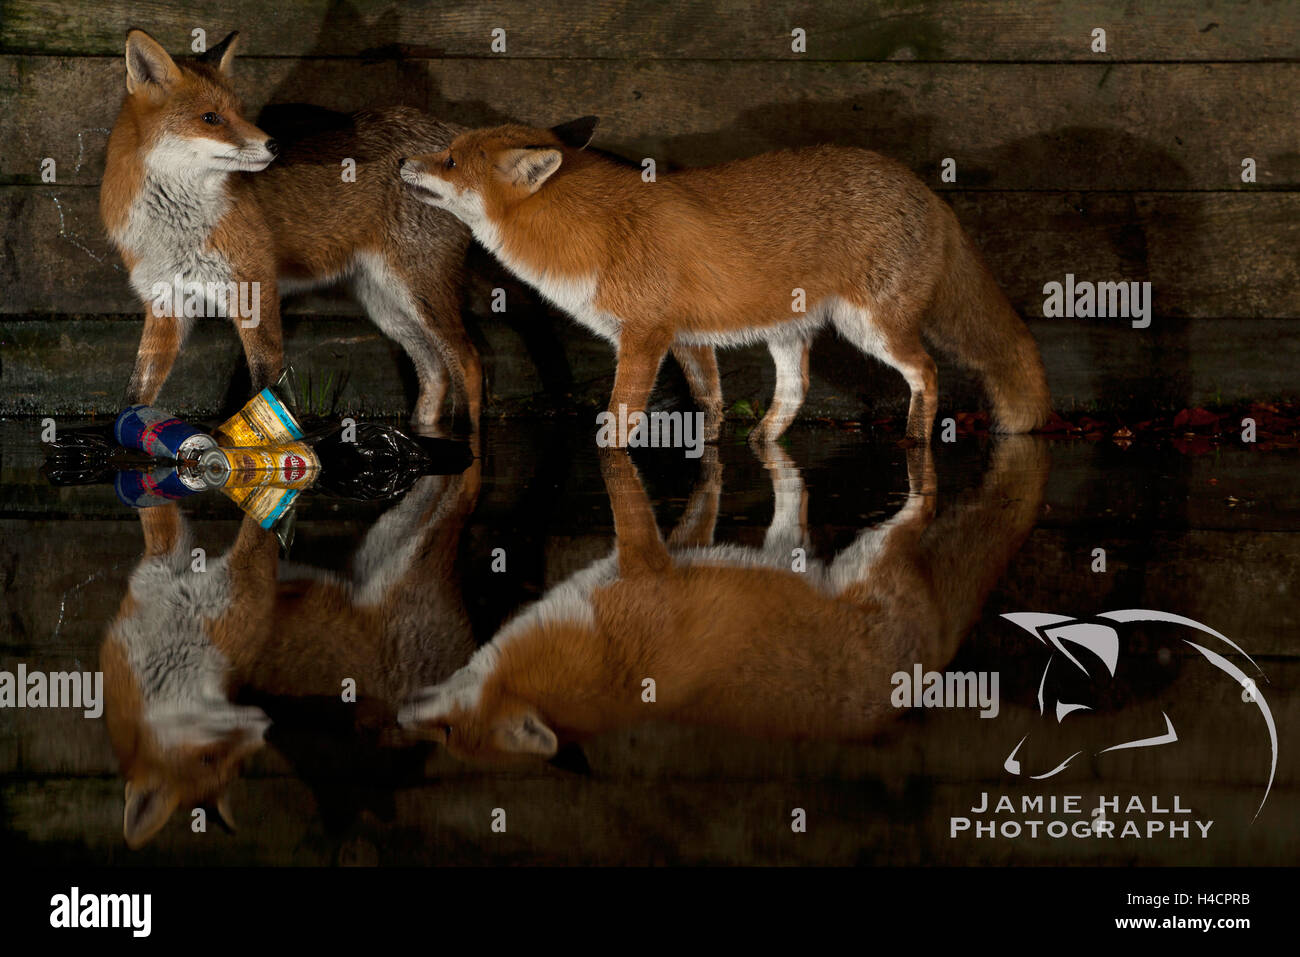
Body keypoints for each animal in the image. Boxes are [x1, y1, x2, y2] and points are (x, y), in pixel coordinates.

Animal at [101, 29, 479, 427]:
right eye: (210, 117)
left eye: (240, 111)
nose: (274, 145)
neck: (174, 226)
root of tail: (453, 136)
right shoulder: (165, 302)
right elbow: (136, 391)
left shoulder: (255, 287)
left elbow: (263, 379)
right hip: (384, 301)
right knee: (435, 370)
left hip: (418, 288)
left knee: (468, 362)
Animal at [101, 468, 479, 848]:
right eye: (212, 759)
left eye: (222, 760)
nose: (265, 725)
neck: (167, 651)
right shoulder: (241, 593)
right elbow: (256, 535)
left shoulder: (168, 566)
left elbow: (161, 510)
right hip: (407, 554)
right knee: (460, 495)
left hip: (388, 540)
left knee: (445, 490)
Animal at [398, 118, 1051, 444]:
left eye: (450, 160)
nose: (402, 161)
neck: (593, 231)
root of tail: (928, 193)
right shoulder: (686, 338)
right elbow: (709, 404)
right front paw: (709, 454)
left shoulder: (643, 337)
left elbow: (618, 418)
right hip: (789, 331)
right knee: (797, 389)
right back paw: (762, 442)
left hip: (872, 328)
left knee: (928, 370)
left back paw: (916, 440)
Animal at [399, 438, 1049, 763]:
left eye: (449, 735)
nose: (401, 717)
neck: (600, 655)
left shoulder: (638, 567)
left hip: (878, 549)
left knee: (917, 510)